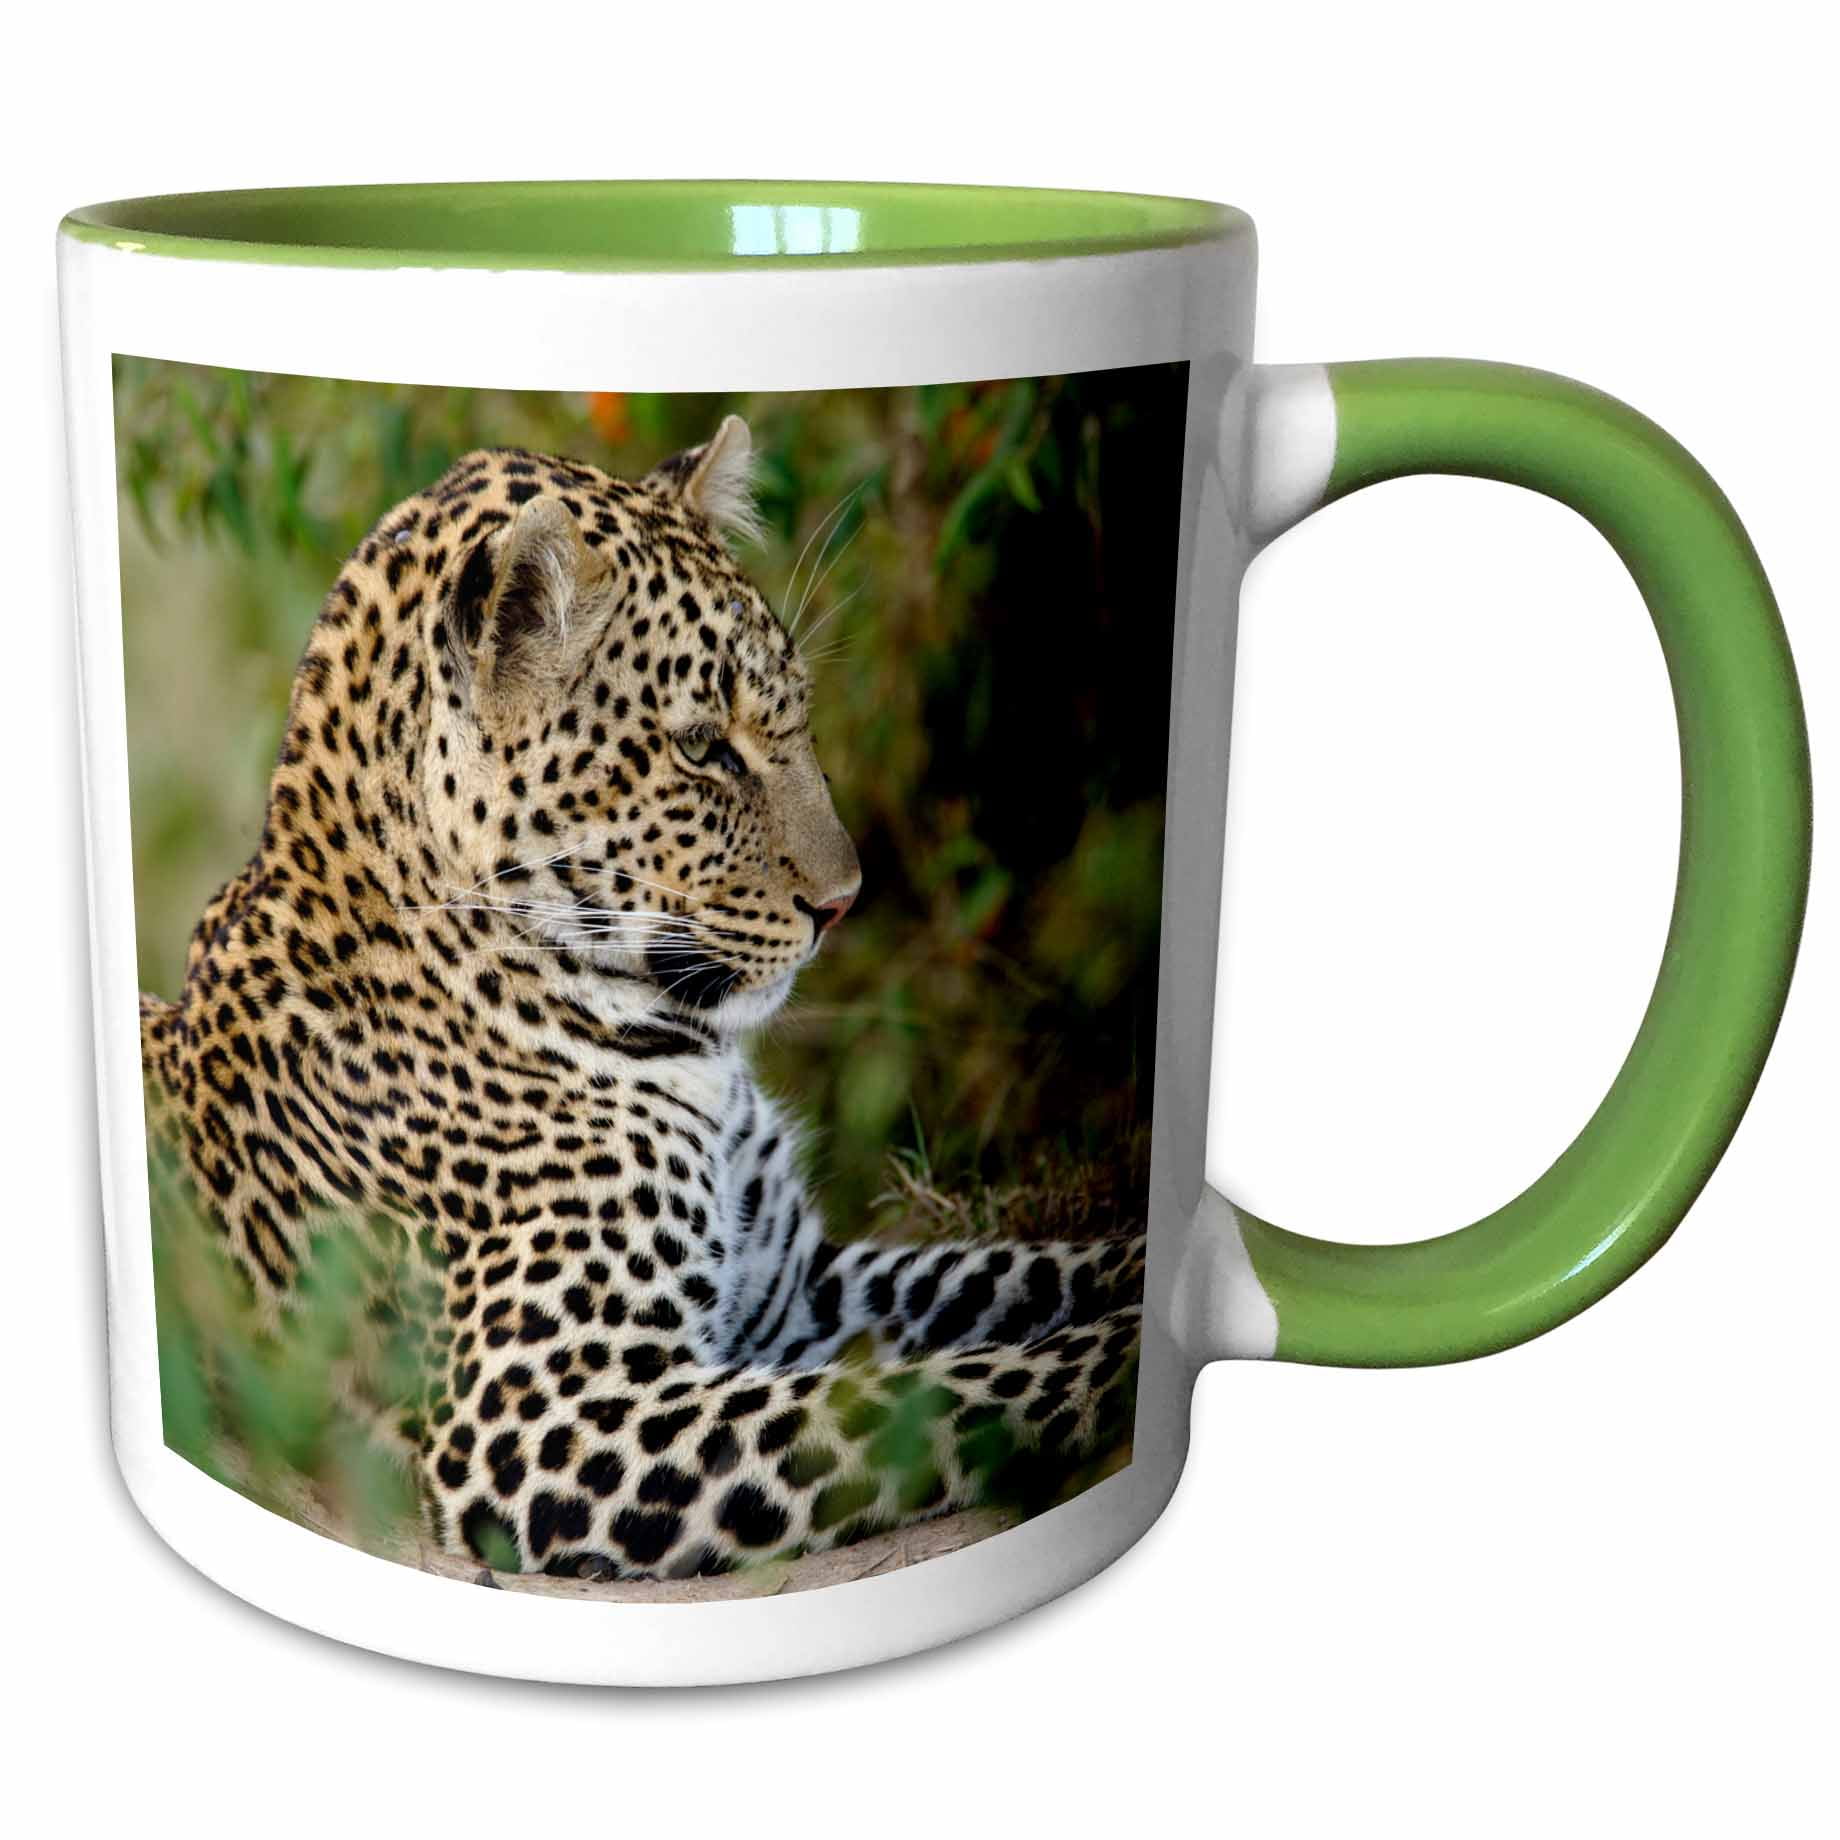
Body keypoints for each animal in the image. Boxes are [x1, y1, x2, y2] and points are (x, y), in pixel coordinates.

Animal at [139, 417, 1145, 1581]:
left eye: (797, 718)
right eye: (702, 747)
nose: (842, 901)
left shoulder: (791, 1286)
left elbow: (1004, 1274)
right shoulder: (544, 1421)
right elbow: (920, 1396)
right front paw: (1114, 1365)